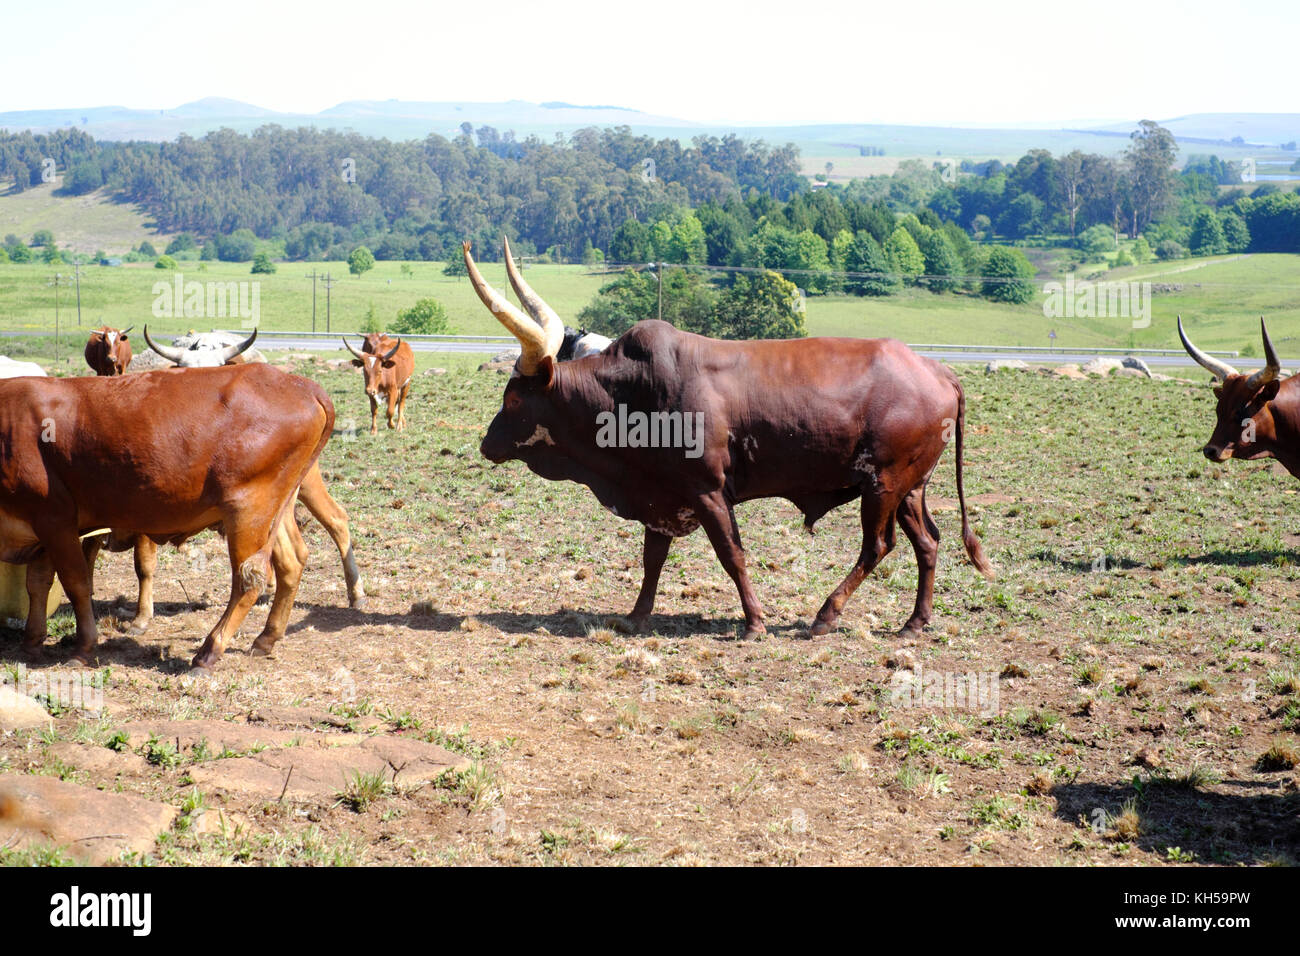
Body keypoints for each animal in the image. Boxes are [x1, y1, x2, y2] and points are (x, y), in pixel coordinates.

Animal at [0, 363, 333, 670]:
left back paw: (209, 652)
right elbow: (38, 583)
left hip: (247, 508)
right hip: (277, 509)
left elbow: (76, 583)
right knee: (291, 562)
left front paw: (83, 648)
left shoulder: (55, 519)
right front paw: (31, 641)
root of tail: (303, 386)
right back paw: (266, 638)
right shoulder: (41, 528)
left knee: (249, 579)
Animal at [464, 239, 993, 639]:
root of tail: (935, 369)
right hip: (910, 487)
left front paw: (755, 622)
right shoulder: (662, 494)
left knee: (877, 547)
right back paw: (914, 622)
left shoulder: (708, 492)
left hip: (883, 484)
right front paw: (636, 616)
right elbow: (652, 559)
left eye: (515, 398)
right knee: (927, 542)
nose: (488, 444)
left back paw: (826, 614)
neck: (629, 392)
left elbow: (731, 555)